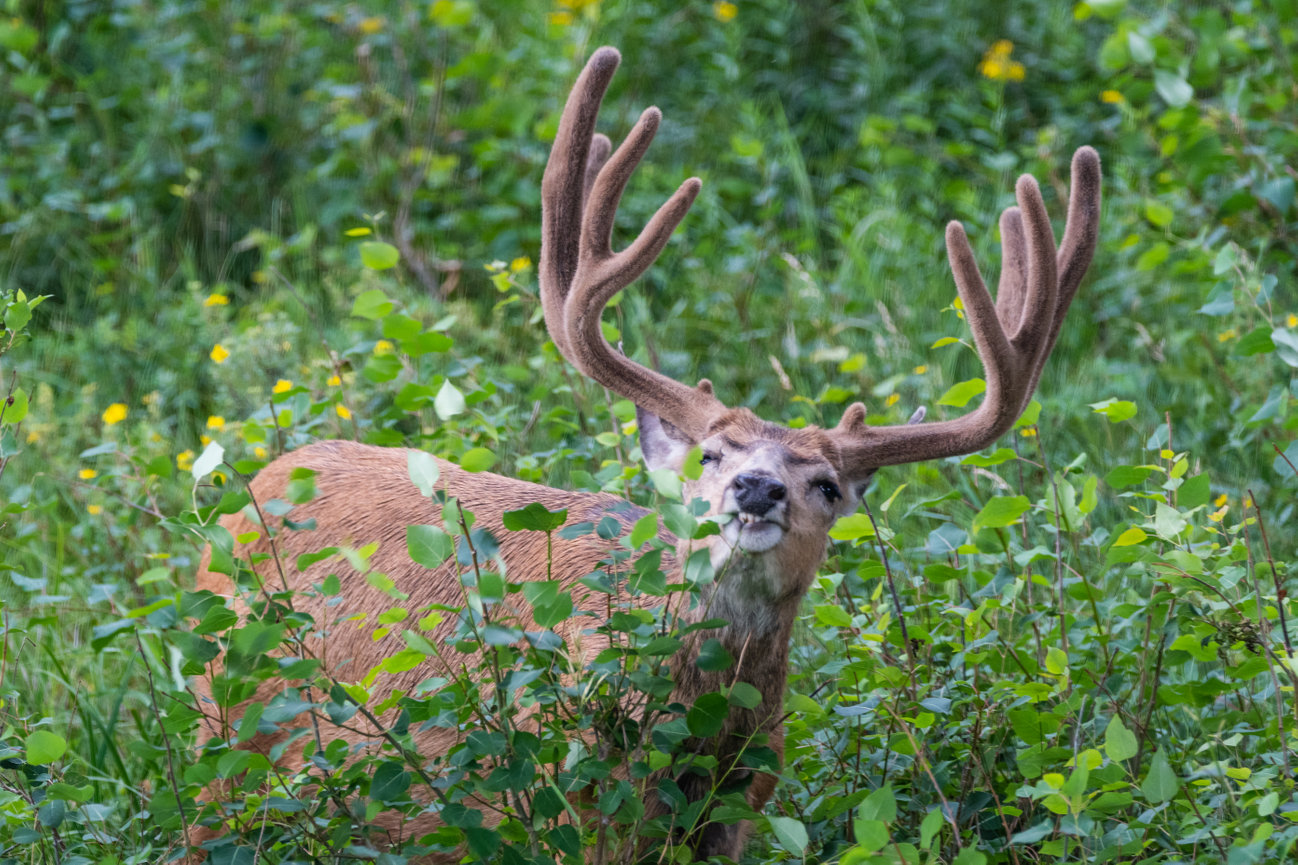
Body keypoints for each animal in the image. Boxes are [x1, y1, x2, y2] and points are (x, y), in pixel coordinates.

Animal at [189, 46, 1101, 864]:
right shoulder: (552, 800)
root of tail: (258, 482)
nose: (759, 489)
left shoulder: (741, 809)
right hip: (220, 738)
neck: (691, 742)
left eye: (827, 484)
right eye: (713, 455)